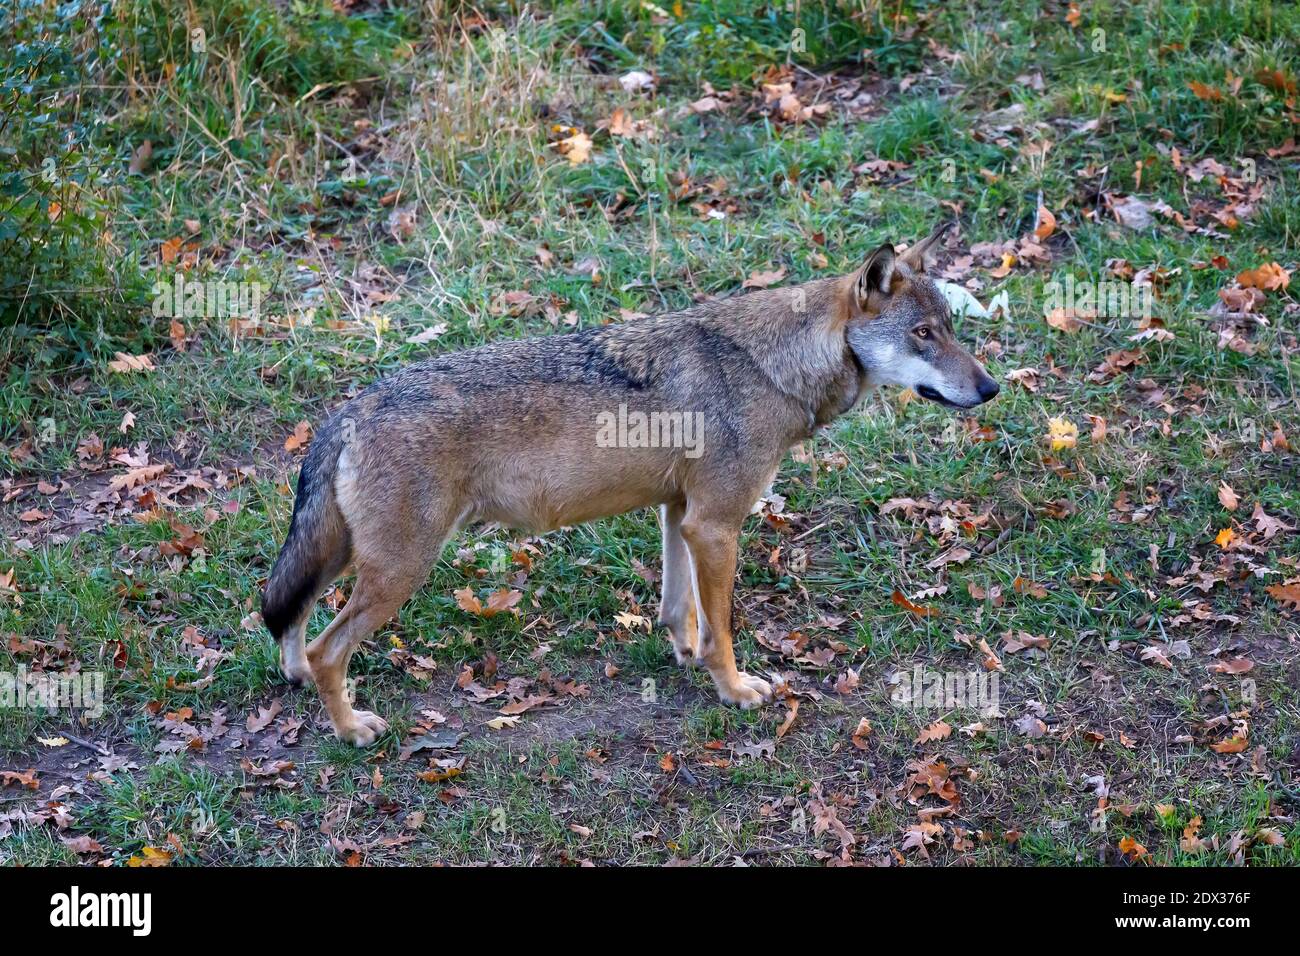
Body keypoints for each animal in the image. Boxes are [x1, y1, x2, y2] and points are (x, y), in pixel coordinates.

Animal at [261, 223, 999, 745]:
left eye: (952, 330)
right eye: (923, 334)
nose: (991, 388)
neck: (774, 366)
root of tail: (353, 408)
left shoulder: (680, 515)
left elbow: (680, 611)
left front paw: (684, 657)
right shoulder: (716, 525)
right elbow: (721, 628)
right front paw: (735, 690)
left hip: (351, 559)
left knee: (290, 615)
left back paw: (296, 679)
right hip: (401, 571)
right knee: (327, 647)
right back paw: (351, 730)